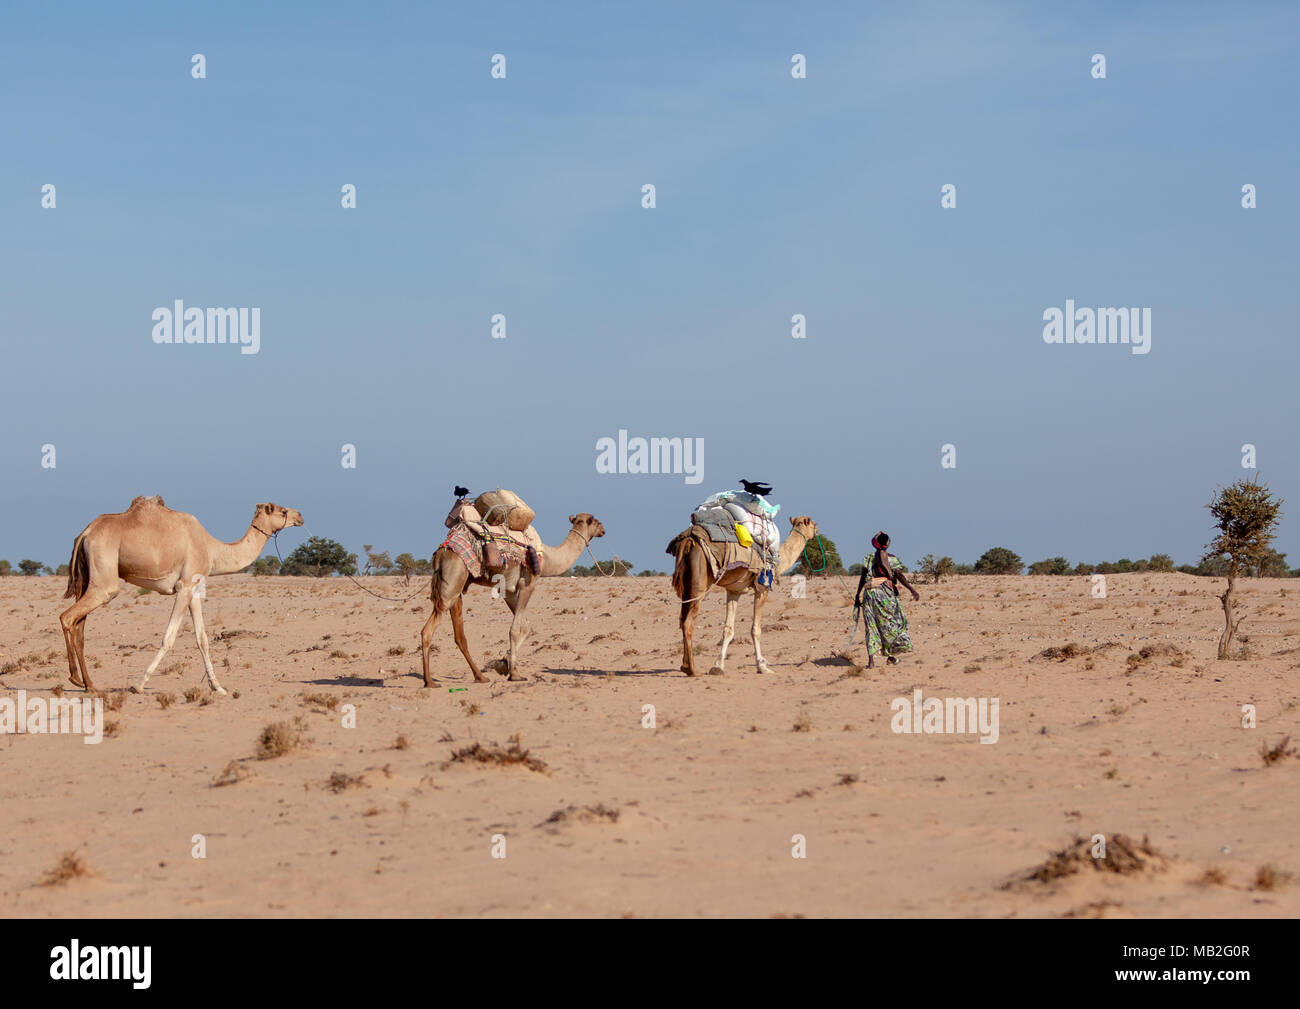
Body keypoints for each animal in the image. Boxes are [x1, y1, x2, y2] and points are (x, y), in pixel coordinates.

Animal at [60, 496, 304, 695]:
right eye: (282, 511)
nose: (300, 516)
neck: (212, 549)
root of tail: (86, 533)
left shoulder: (194, 590)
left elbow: (202, 639)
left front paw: (218, 687)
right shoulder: (184, 586)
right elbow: (168, 638)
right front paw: (138, 684)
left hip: (87, 580)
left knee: (79, 627)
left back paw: (89, 685)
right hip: (105, 582)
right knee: (68, 617)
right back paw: (75, 678)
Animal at [420, 513, 605, 686]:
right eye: (595, 521)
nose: (603, 529)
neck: (547, 557)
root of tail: (441, 552)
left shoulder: (508, 590)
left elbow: (526, 626)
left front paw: (504, 663)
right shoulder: (527, 583)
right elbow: (515, 629)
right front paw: (514, 673)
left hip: (458, 588)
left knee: (459, 636)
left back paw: (480, 677)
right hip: (452, 583)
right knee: (428, 630)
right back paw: (430, 681)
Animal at [669, 514, 818, 676]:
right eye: (813, 524)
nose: (817, 530)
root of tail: (689, 539)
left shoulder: (734, 590)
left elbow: (728, 629)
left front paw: (718, 666)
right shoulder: (762, 589)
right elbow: (756, 629)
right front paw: (762, 666)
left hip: (686, 586)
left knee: (682, 619)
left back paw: (684, 666)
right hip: (701, 582)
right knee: (688, 622)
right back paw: (692, 669)